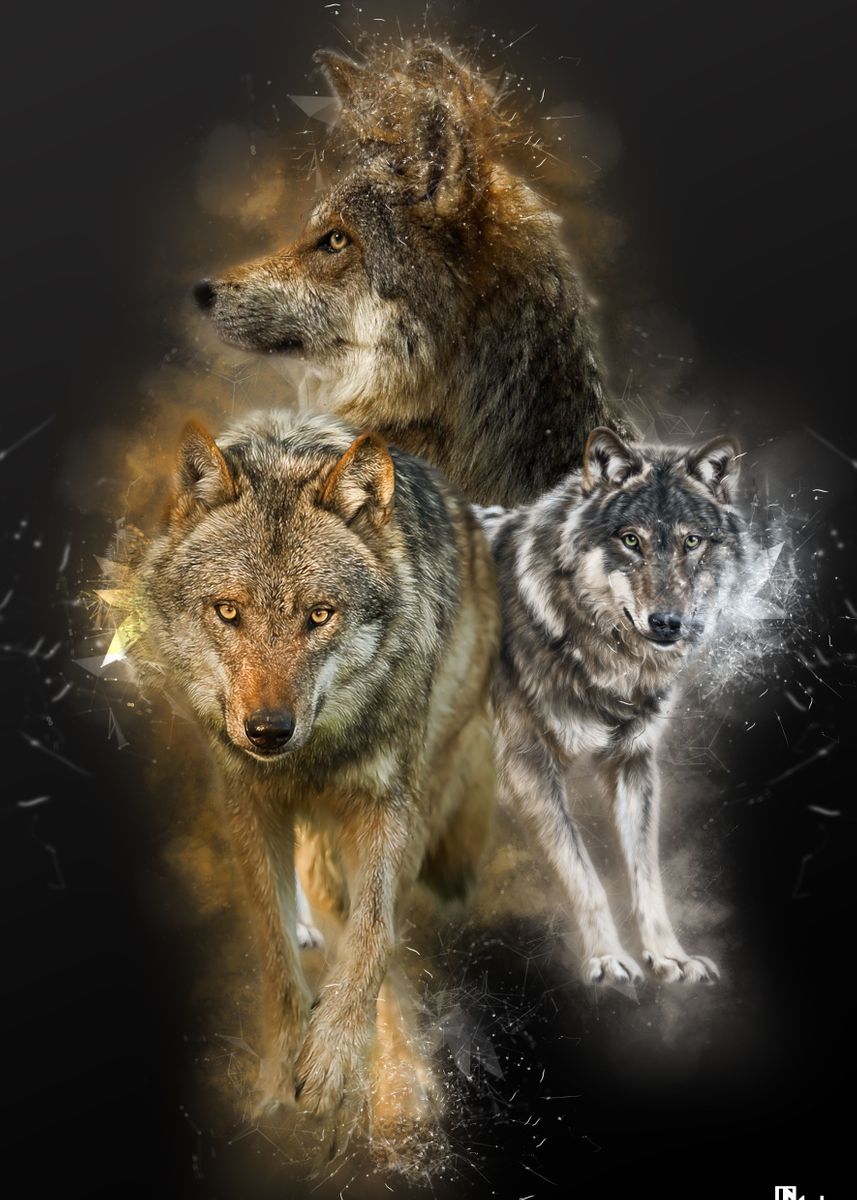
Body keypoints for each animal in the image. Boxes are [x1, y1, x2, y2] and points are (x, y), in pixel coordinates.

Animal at [132, 409, 499, 1137]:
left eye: (320, 614)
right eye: (228, 611)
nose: (268, 731)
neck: (309, 759)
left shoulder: (386, 802)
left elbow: (372, 935)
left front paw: (334, 1065)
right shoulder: (248, 801)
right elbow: (273, 947)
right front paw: (279, 1080)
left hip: (433, 778)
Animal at [483, 426, 743, 985]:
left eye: (692, 541)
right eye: (631, 540)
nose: (667, 622)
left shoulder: (633, 763)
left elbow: (647, 876)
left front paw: (670, 957)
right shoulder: (525, 767)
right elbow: (584, 874)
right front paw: (606, 958)